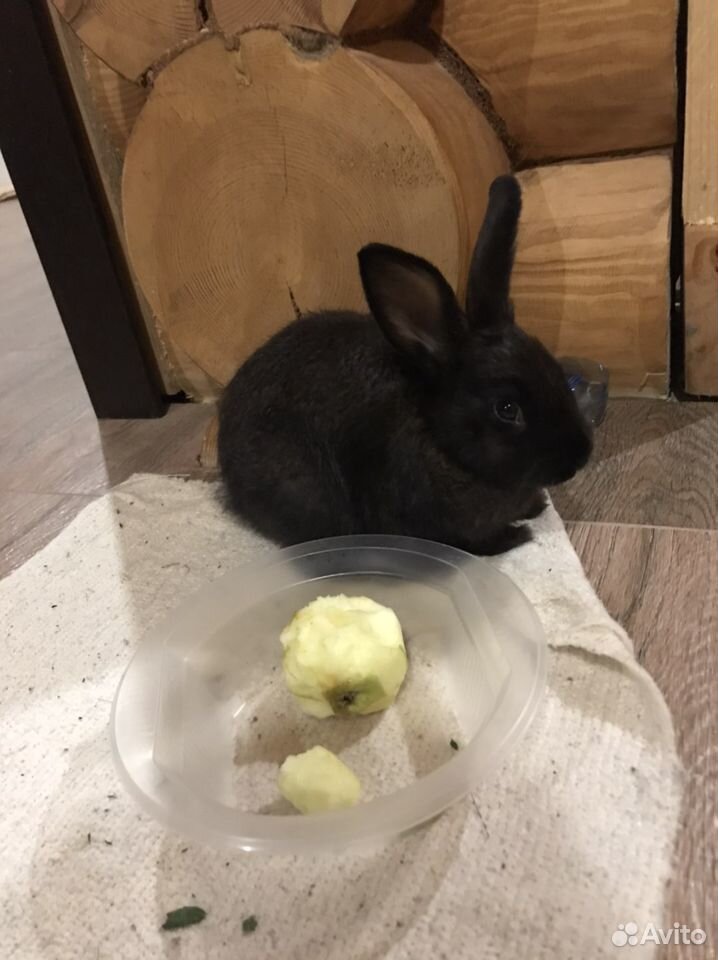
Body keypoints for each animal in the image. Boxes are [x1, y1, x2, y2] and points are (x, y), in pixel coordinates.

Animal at [218, 174, 592, 555]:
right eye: (506, 408)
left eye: (556, 371)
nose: (580, 456)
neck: (443, 443)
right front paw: (520, 534)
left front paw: (536, 506)